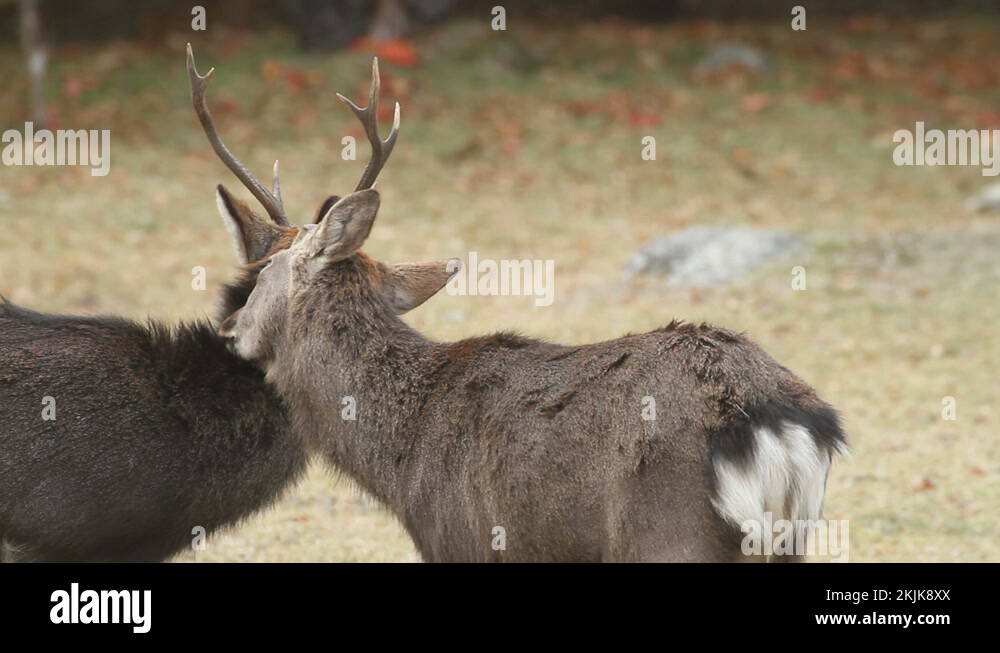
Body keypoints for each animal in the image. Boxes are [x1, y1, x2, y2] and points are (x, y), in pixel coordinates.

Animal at [218, 65, 848, 563]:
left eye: (261, 273)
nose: (227, 331)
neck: (401, 465)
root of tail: (776, 419)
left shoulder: (461, 537)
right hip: (789, 544)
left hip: (667, 533)